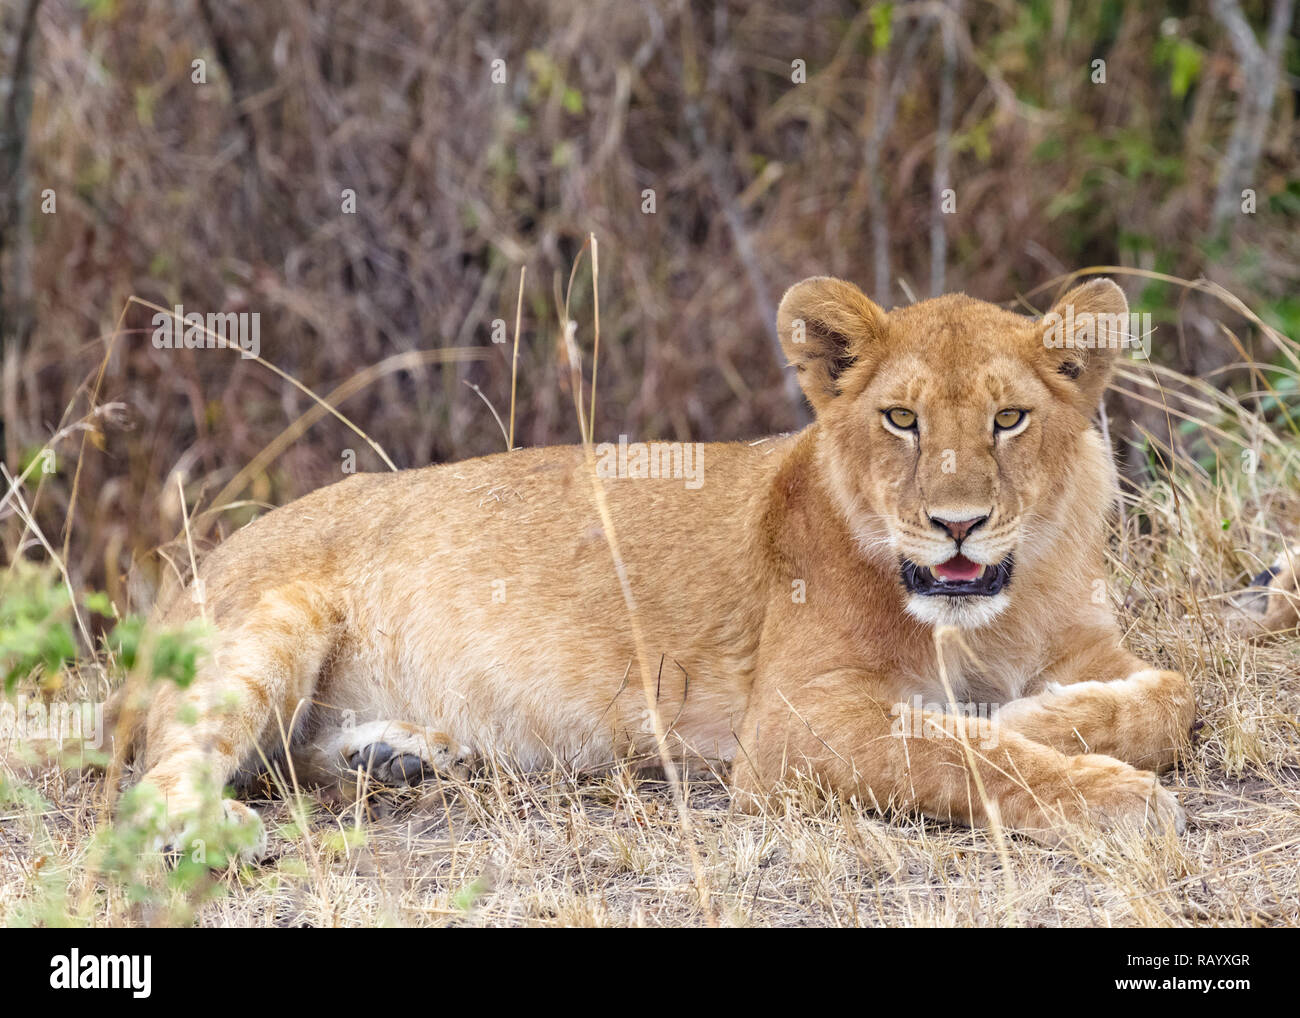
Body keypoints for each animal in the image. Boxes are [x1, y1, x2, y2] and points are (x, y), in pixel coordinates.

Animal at [107, 276, 1300, 857]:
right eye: (902, 420)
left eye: (1009, 419)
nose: (956, 526)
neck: (990, 614)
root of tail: (191, 568)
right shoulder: (793, 724)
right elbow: (951, 754)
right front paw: (1104, 790)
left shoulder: (1089, 642)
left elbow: (1171, 696)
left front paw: (1034, 718)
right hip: (269, 624)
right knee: (165, 770)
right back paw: (214, 828)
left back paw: (395, 758)